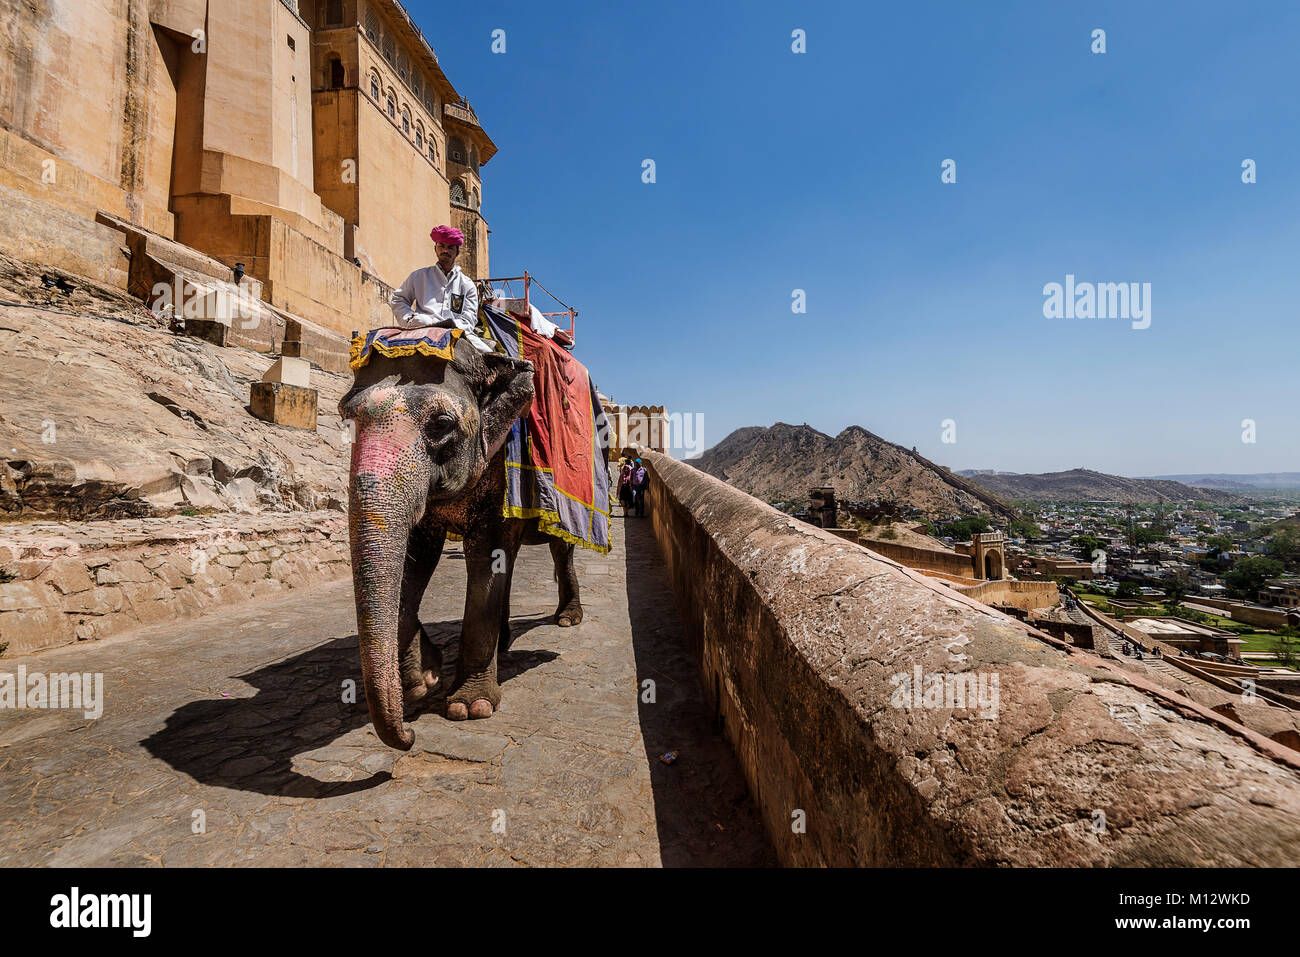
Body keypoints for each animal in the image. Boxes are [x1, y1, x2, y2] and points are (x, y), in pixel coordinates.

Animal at [339, 340, 588, 751]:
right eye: (347, 418)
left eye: (441, 424)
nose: (409, 736)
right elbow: (415, 558)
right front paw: (422, 680)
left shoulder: (501, 464)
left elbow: (486, 553)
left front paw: (469, 708)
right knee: (512, 559)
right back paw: (503, 642)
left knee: (559, 549)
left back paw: (567, 618)